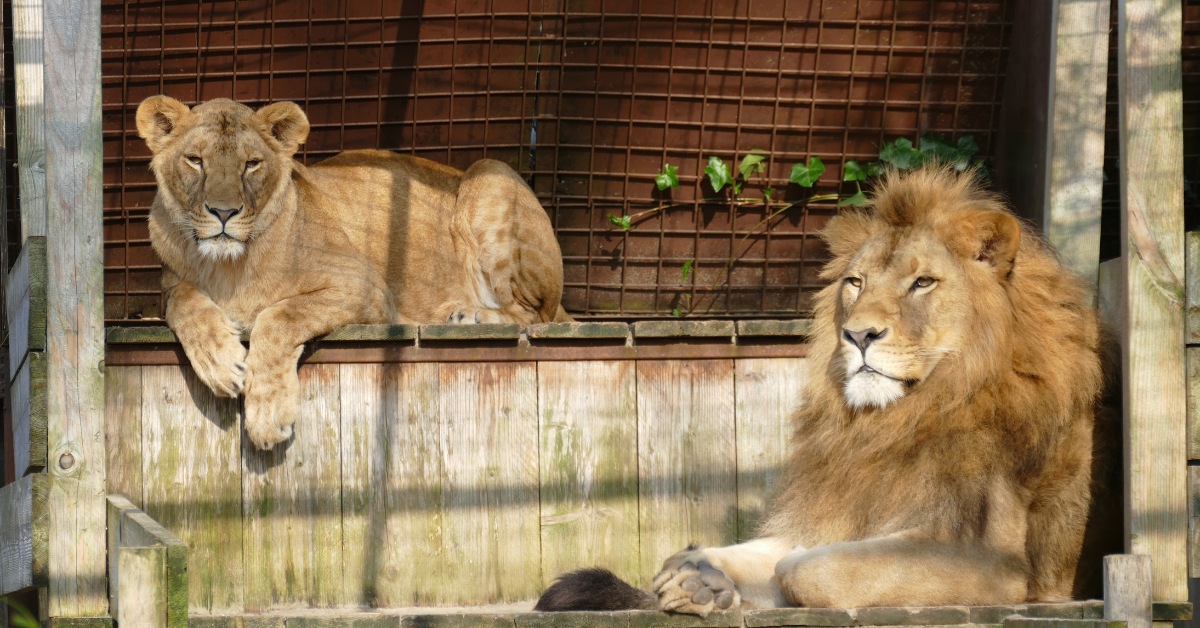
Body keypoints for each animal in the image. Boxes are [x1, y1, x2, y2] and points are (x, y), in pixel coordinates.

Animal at [136, 96, 571, 450]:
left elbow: (278, 316)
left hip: (488, 171)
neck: (226, 266)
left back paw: (469, 315)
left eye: (251, 164)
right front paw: (221, 363)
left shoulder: (366, 287)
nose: (223, 212)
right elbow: (182, 300)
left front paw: (267, 414)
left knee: (534, 315)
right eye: (196, 160)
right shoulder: (172, 283)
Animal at [536, 167, 1114, 613]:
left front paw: (744, 573)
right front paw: (700, 575)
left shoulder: (999, 565)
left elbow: (809, 567)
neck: (897, 419)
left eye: (922, 283)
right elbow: (757, 550)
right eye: (856, 283)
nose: (858, 335)